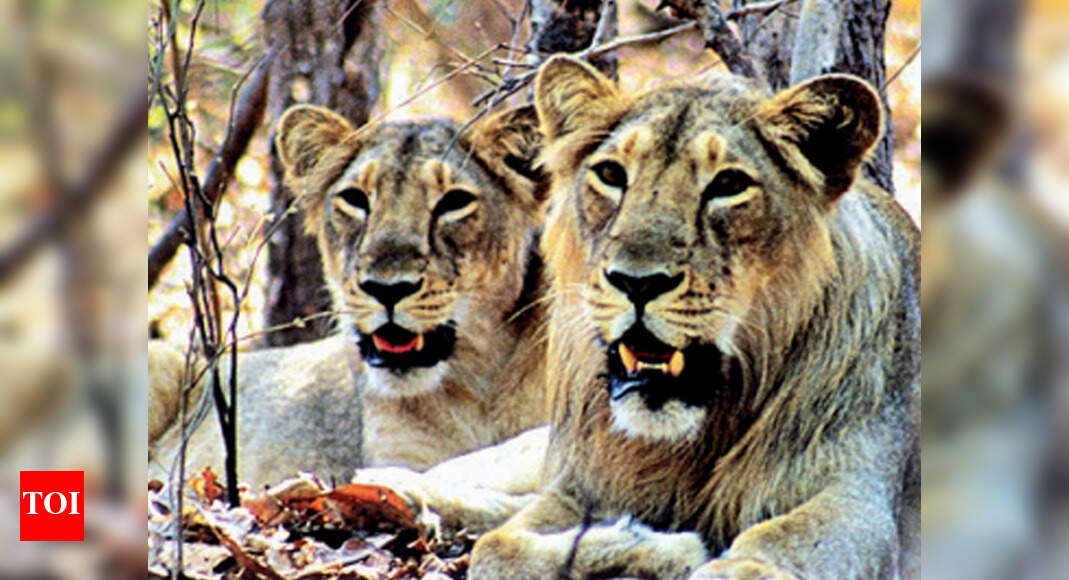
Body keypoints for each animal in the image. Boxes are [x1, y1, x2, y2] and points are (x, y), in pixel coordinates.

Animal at [469, 56, 921, 579]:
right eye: (610, 173)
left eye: (729, 185)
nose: (637, 282)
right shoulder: (576, 483)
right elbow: (496, 549)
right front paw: (646, 546)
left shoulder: (860, 500)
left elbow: (762, 552)